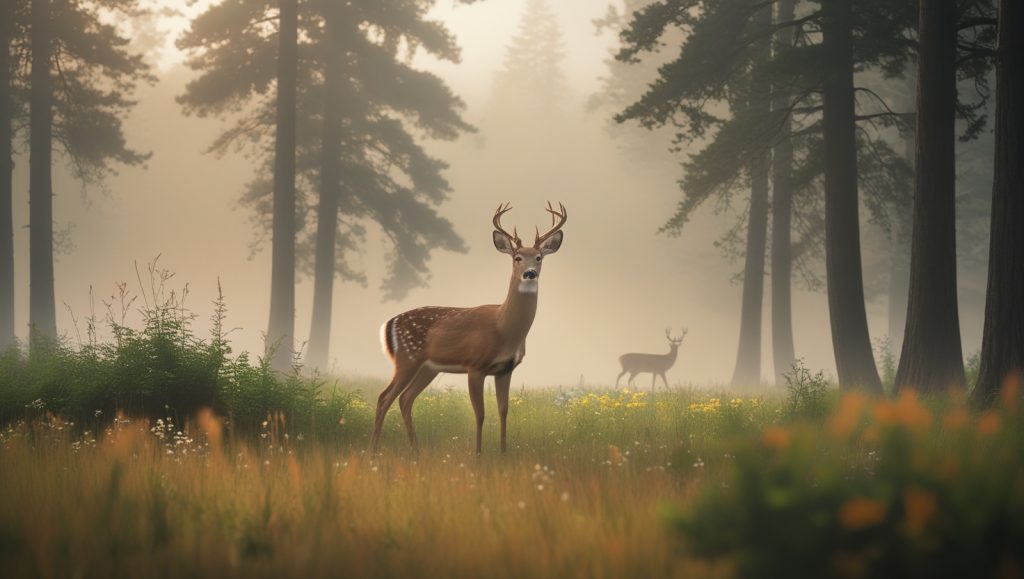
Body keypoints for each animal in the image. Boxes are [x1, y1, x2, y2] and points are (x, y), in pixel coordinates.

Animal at [370, 202, 567, 454]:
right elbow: (480, 413)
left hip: (428, 367)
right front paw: (478, 454)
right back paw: (373, 451)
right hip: (407, 358)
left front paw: (503, 453)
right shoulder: (475, 365)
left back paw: (415, 450)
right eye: (517, 257)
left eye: (539, 257)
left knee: (406, 399)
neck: (504, 329)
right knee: (384, 397)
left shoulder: (506, 369)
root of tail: (389, 323)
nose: (530, 273)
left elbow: (504, 411)